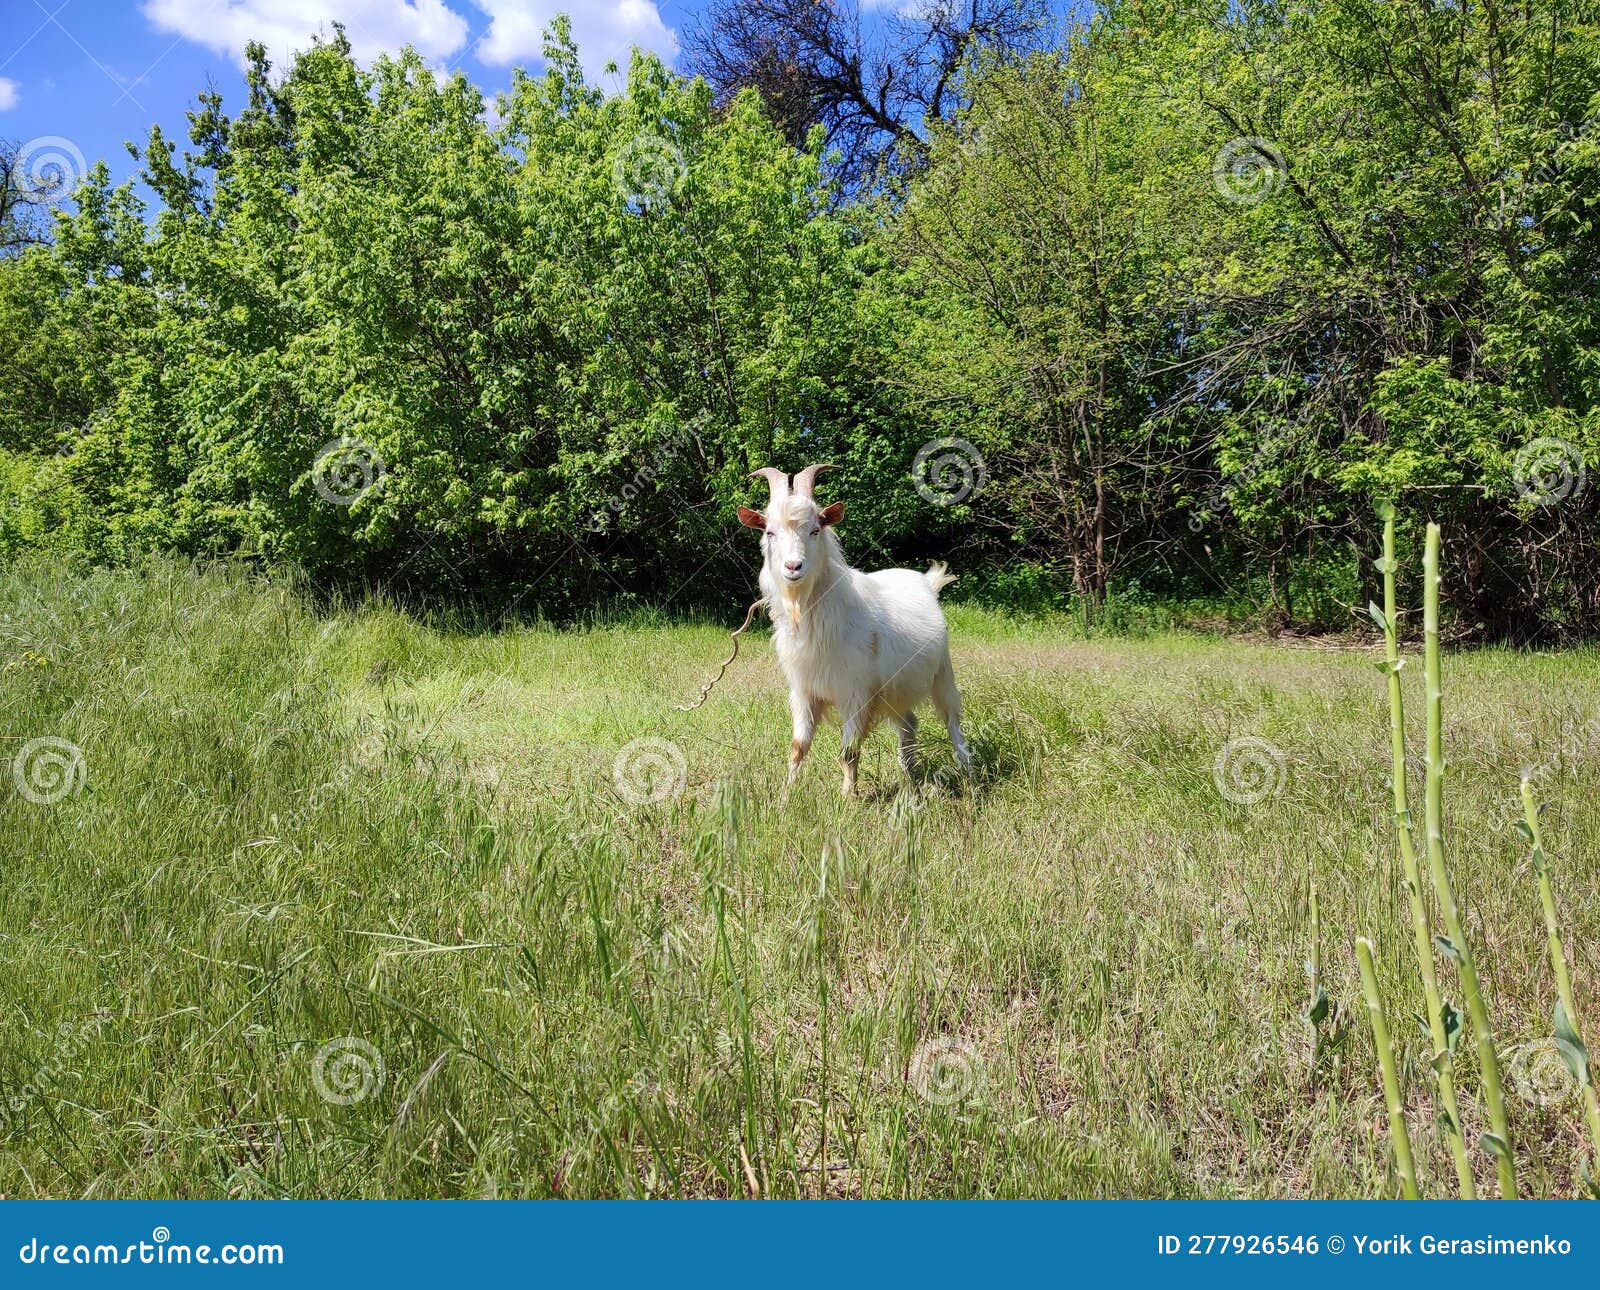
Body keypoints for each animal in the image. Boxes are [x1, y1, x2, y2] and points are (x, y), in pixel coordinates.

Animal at [737, 463, 974, 797]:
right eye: (769, 532)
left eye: (815, 529)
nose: (793, 567)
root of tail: (927, 582)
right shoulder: (804, 691)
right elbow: (798, 746)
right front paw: (787, 793)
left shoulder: (857, 693)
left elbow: (848, 752)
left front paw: (848, 798)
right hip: (896, 689)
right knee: (909, 723)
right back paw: (908, 774)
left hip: (942, 673)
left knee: (952, 719)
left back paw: (968, 770)